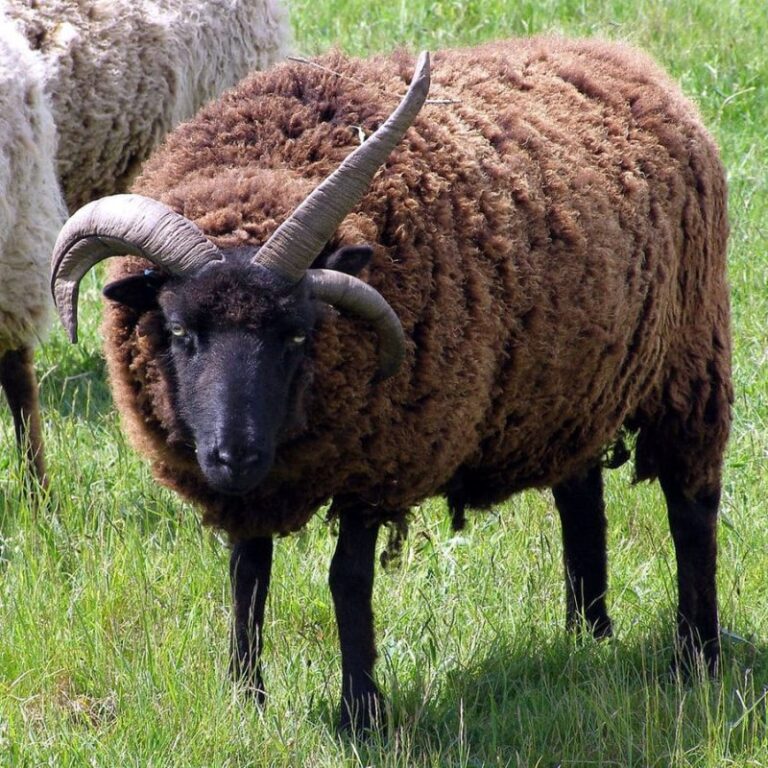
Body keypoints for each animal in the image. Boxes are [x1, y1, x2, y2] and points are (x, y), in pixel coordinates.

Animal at [51, 38, 732, 732]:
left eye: (297, 335)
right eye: (180, 331)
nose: (232, 454)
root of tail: (626, 58)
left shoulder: (378, 463)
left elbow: (347, 580)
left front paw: (361, 711)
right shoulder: (256, 487)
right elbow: (247, 574)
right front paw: (246, 699)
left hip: (690, 361)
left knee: (692, 506)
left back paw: (696, 655)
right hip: (574, 388)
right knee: (582, 497)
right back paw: (587, 635)